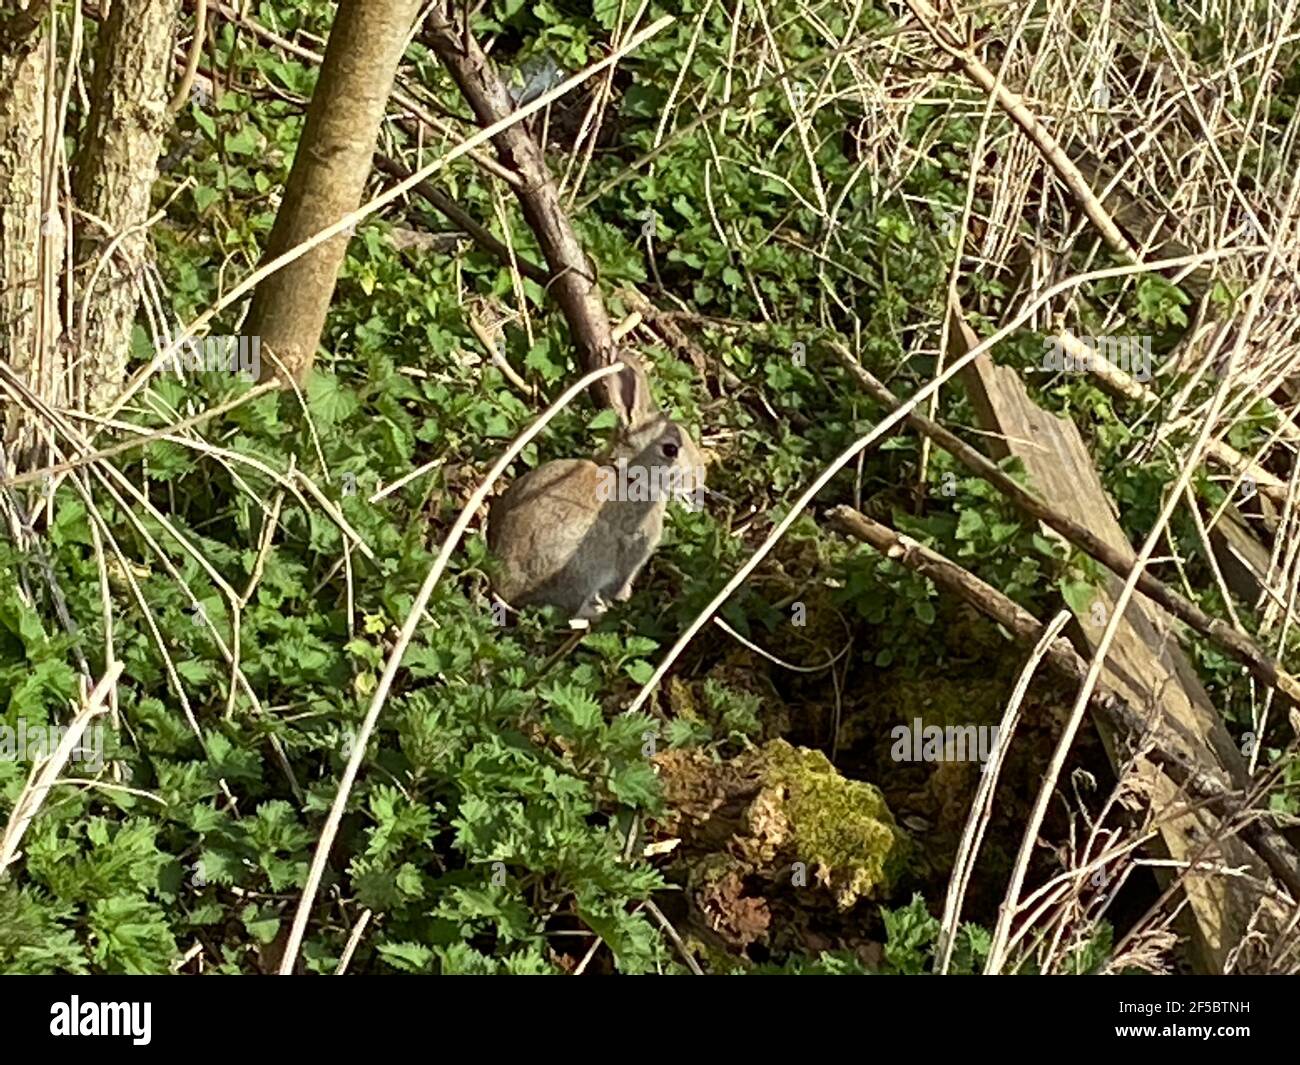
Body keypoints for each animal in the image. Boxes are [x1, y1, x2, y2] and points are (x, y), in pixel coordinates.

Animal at [488, 359, 706, 621]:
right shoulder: (631, 551)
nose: (699, 477)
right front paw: (623, 598)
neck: (629, 476)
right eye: (671, 449)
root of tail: (506, 589)